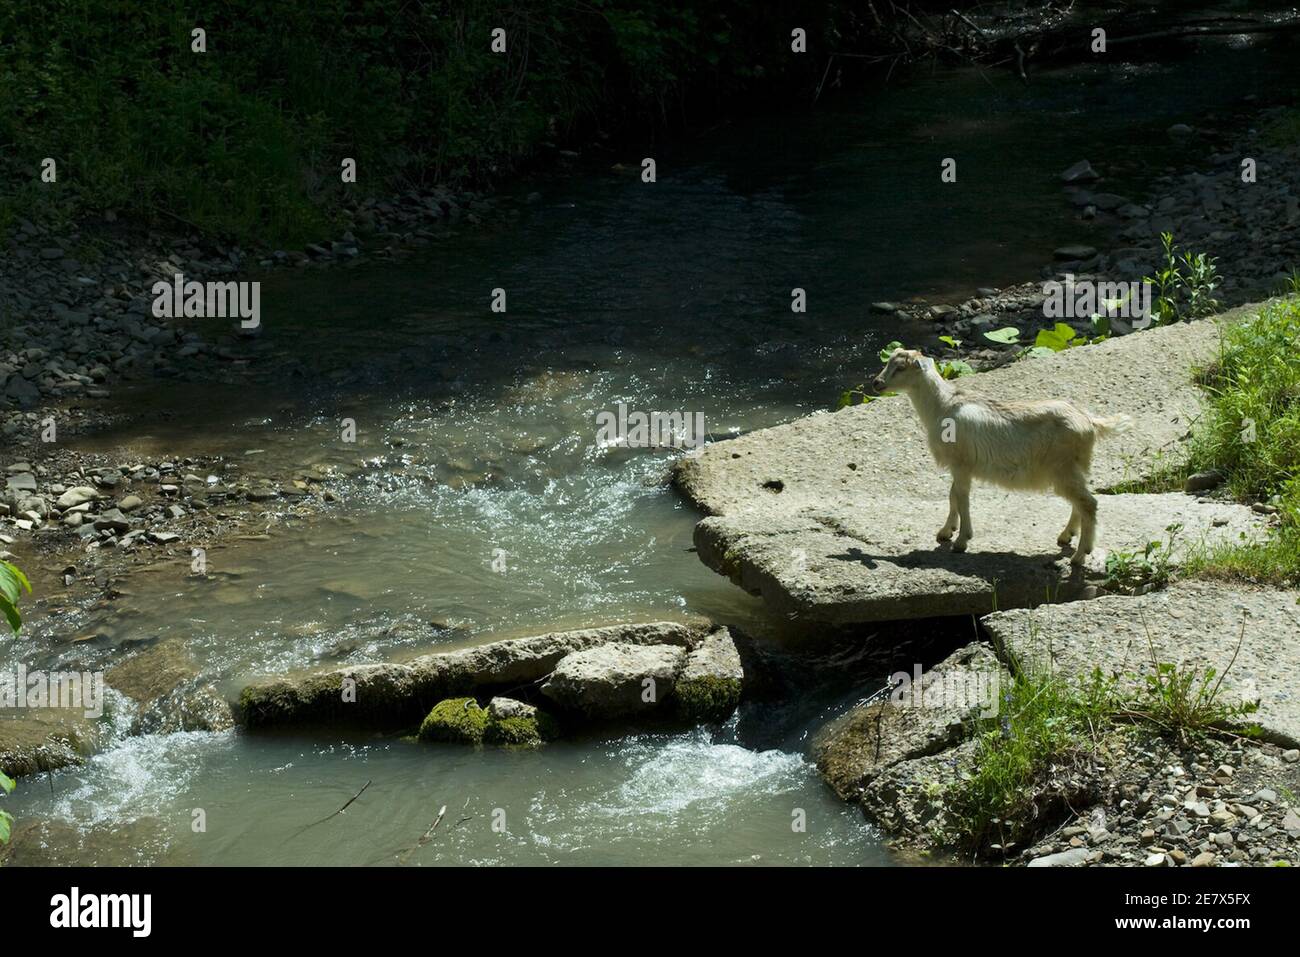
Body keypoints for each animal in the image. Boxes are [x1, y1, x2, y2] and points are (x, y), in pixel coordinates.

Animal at [870, 348, 1130, 565]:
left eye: (900, 368)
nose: (876, 383)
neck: (942, 406)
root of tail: (1090, 421)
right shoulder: (958, 465)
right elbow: (952, 495)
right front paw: (946, 532)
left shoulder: (962, 463)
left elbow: (962, 498)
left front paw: (961, 541)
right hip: (1074, 468)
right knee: (1080, 502)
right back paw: (1066, 537)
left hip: (1063, 468)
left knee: (1089, 504)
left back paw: (1079, 556)